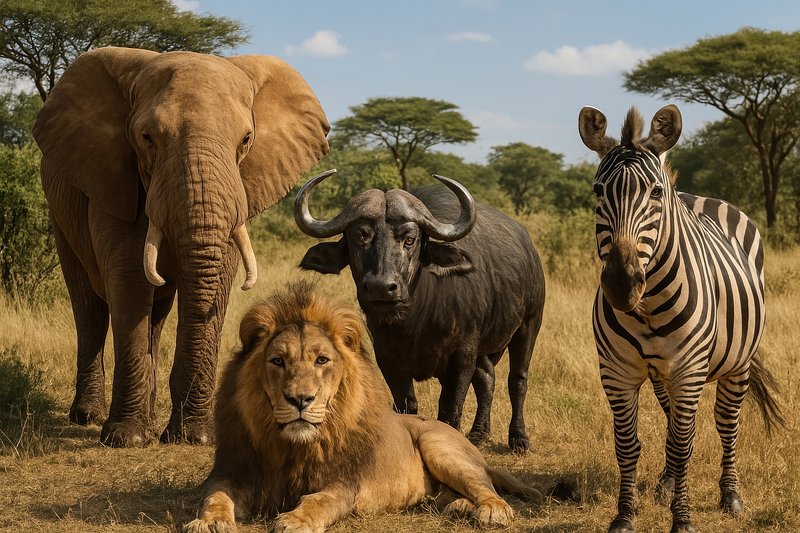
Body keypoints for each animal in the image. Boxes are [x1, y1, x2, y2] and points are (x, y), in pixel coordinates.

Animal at [294, 169, 546, 452]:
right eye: (360, 236)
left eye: (410, 239)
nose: (381, 287)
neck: (415, 322)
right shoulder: (388, 359)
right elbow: (407, 406)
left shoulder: (462, 356)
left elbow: (449, 410)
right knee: (486, 378)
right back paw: (479, 433)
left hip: (529, 324)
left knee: (517, 380)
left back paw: (519, 439)